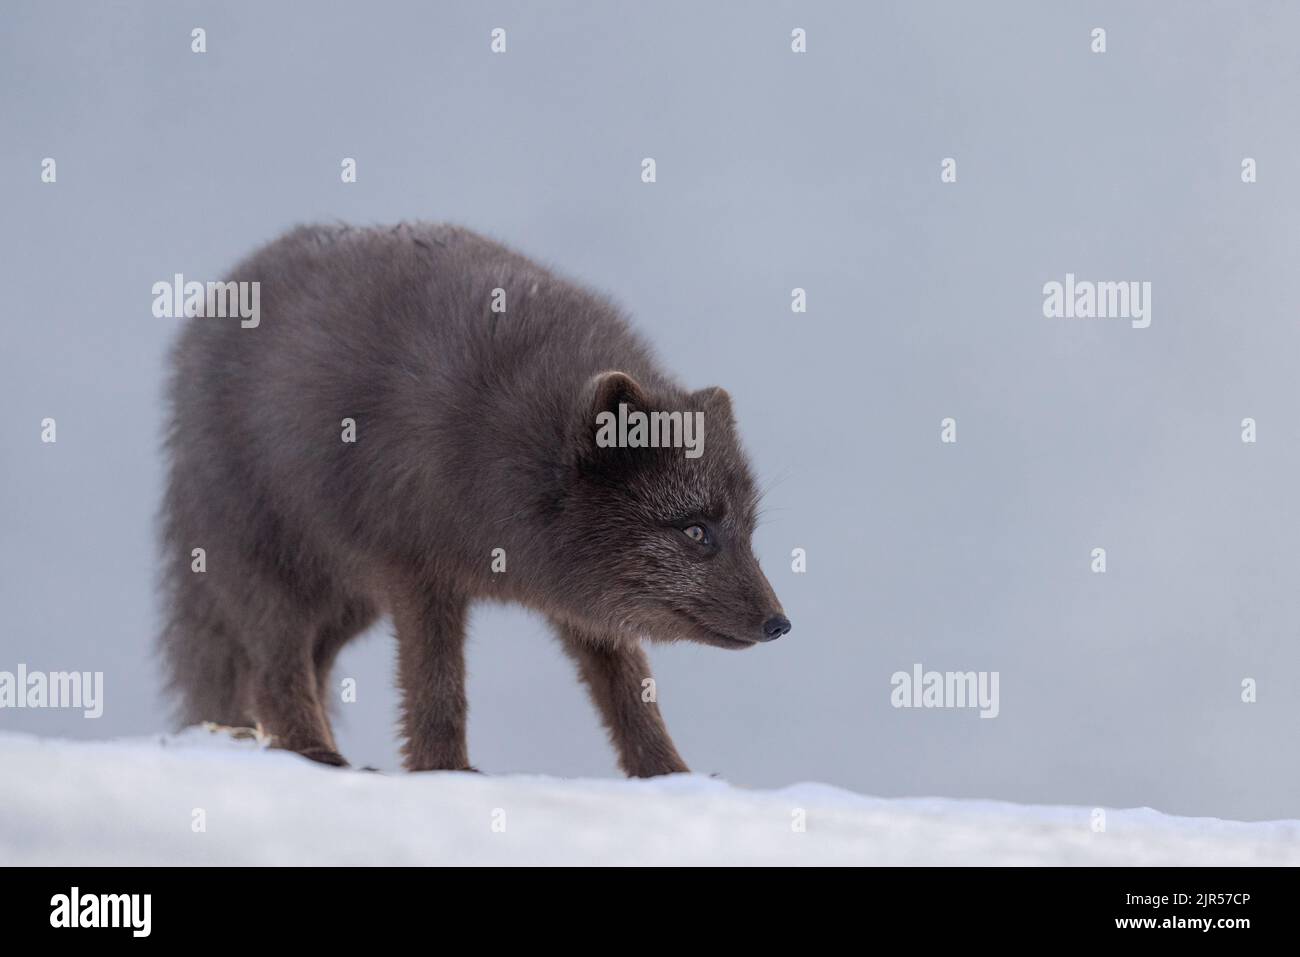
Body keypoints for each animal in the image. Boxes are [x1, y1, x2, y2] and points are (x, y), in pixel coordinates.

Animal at [159, 222, 791, 777]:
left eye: (748, 532)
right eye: (696, 531)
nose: (780, 625)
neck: (509, 439)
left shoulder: (581, 595)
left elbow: (631, 691)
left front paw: (670, 777)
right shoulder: (416, 572)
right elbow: (438, 688)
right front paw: (445, 772)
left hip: (348, 600)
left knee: (307, 664)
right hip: (273, 568)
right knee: (274, 670)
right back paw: (317, 757)